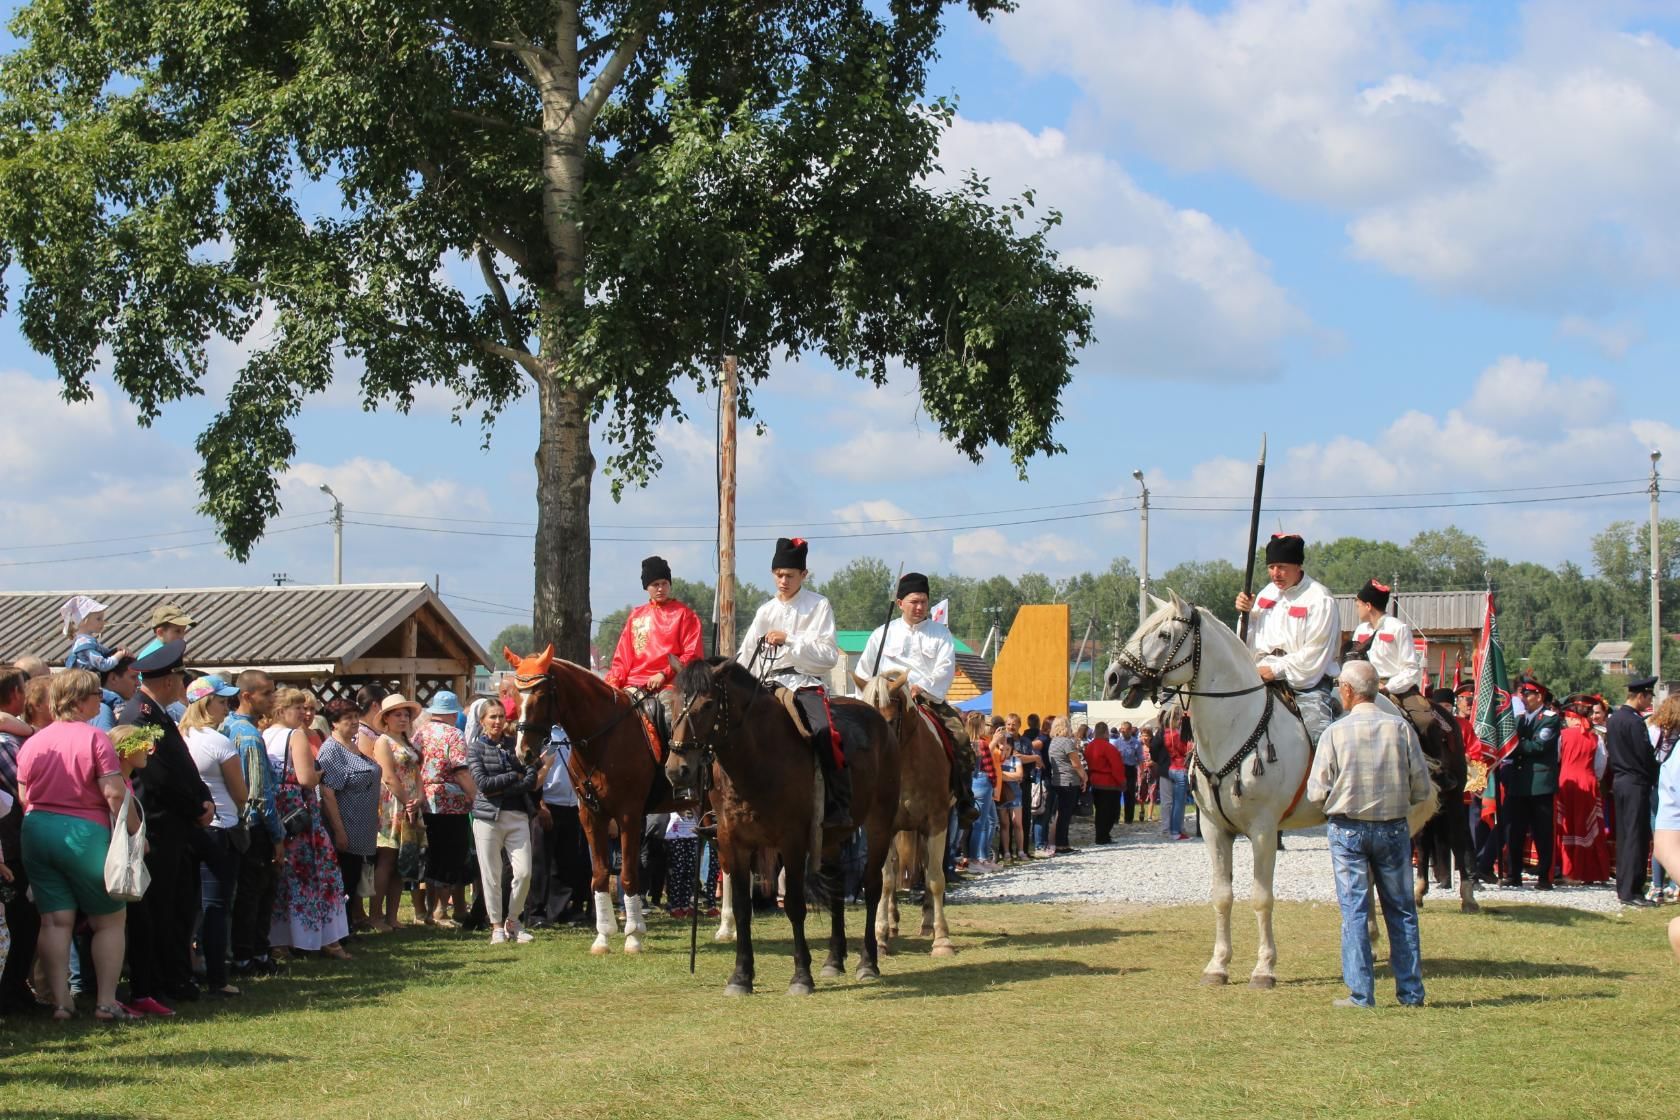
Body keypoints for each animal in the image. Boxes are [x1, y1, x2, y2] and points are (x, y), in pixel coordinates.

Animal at [500, 648, 685, 953]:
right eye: (514, 694)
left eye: (541, 695)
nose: (523, 752)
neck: (605, 739)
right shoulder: (591, 814)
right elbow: (598, 875)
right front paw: (603, 937)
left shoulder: (629, 816)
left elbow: (628, 875)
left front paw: (633, 936)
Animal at [665, 658, 907, 1000]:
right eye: (672, 703)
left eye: (708, 704)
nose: (677, 770)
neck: (757, 759)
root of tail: (879, 721)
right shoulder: (733, 843)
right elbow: (742, 909)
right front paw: (740, 976)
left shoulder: (792, 842)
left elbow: (794, 905)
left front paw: (801, 976)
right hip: (830, 838)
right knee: (836, 886)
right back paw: (834, 960)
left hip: (879, 825)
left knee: (872, 886)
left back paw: (868, 963)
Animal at [860, 671, 954, 960]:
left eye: (890, 721)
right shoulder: (882, 825)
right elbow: (885, 881)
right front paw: (879, 937)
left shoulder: (937, 822)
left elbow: (935, 879)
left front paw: (942, 939)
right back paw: (892, 923)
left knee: (926, 866)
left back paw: (927, 923)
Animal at [1102, 594, 1431, 987]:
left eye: (1164, 635)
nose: (1113, 677)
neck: (1233, 727)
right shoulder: (1214, 829)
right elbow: (1222, 895)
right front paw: (1218, 965)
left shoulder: (1263, 830)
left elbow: (1261, 897)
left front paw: (1264, 968)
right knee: (1365, 876)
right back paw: (1370, 939)